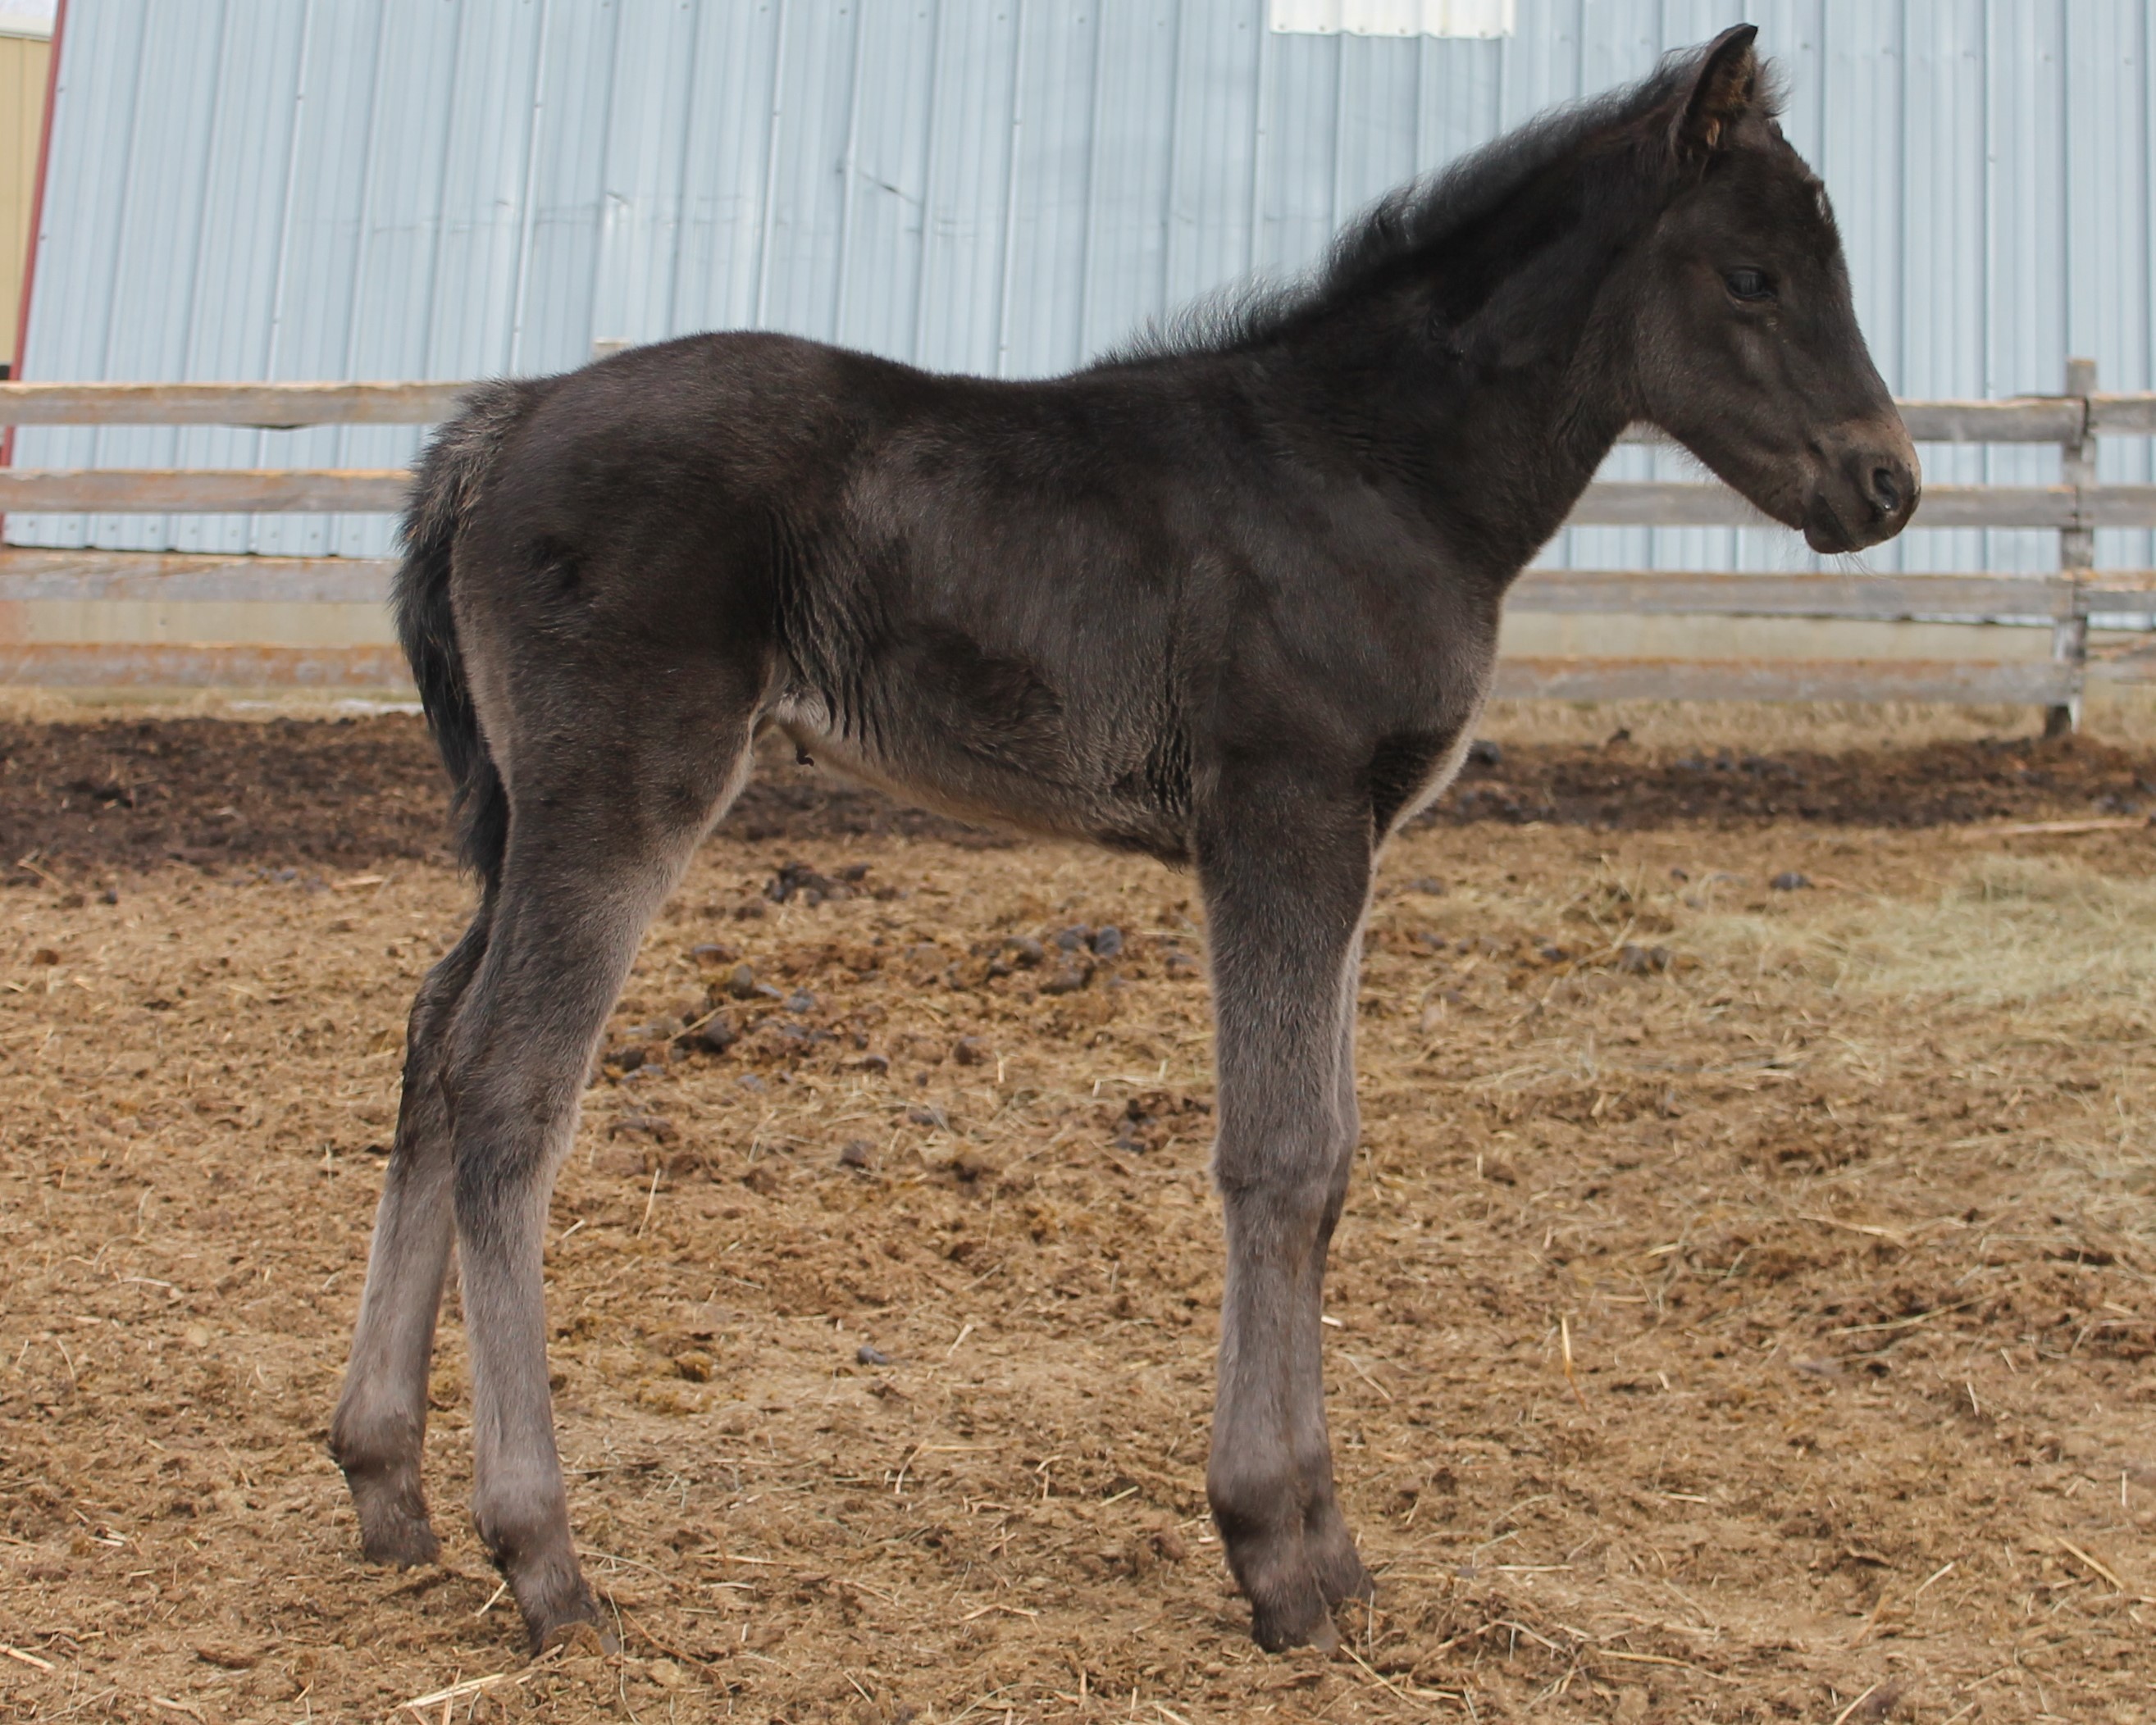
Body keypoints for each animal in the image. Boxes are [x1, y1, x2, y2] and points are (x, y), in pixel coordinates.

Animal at [328, 25, 1917, 1654]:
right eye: (1750, 277)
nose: (1885, 485)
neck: (1372, 469)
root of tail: (505, 418)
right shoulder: (1281, 816)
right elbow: (1279, 1157)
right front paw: (1275, 1554)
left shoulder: (1349, 838)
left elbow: (1334, 1156)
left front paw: (1335, 1549)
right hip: (619, 790)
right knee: (508, 1081)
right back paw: (543, 1560)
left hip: (526, 810)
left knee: (435, 1034)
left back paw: (385, 1484)